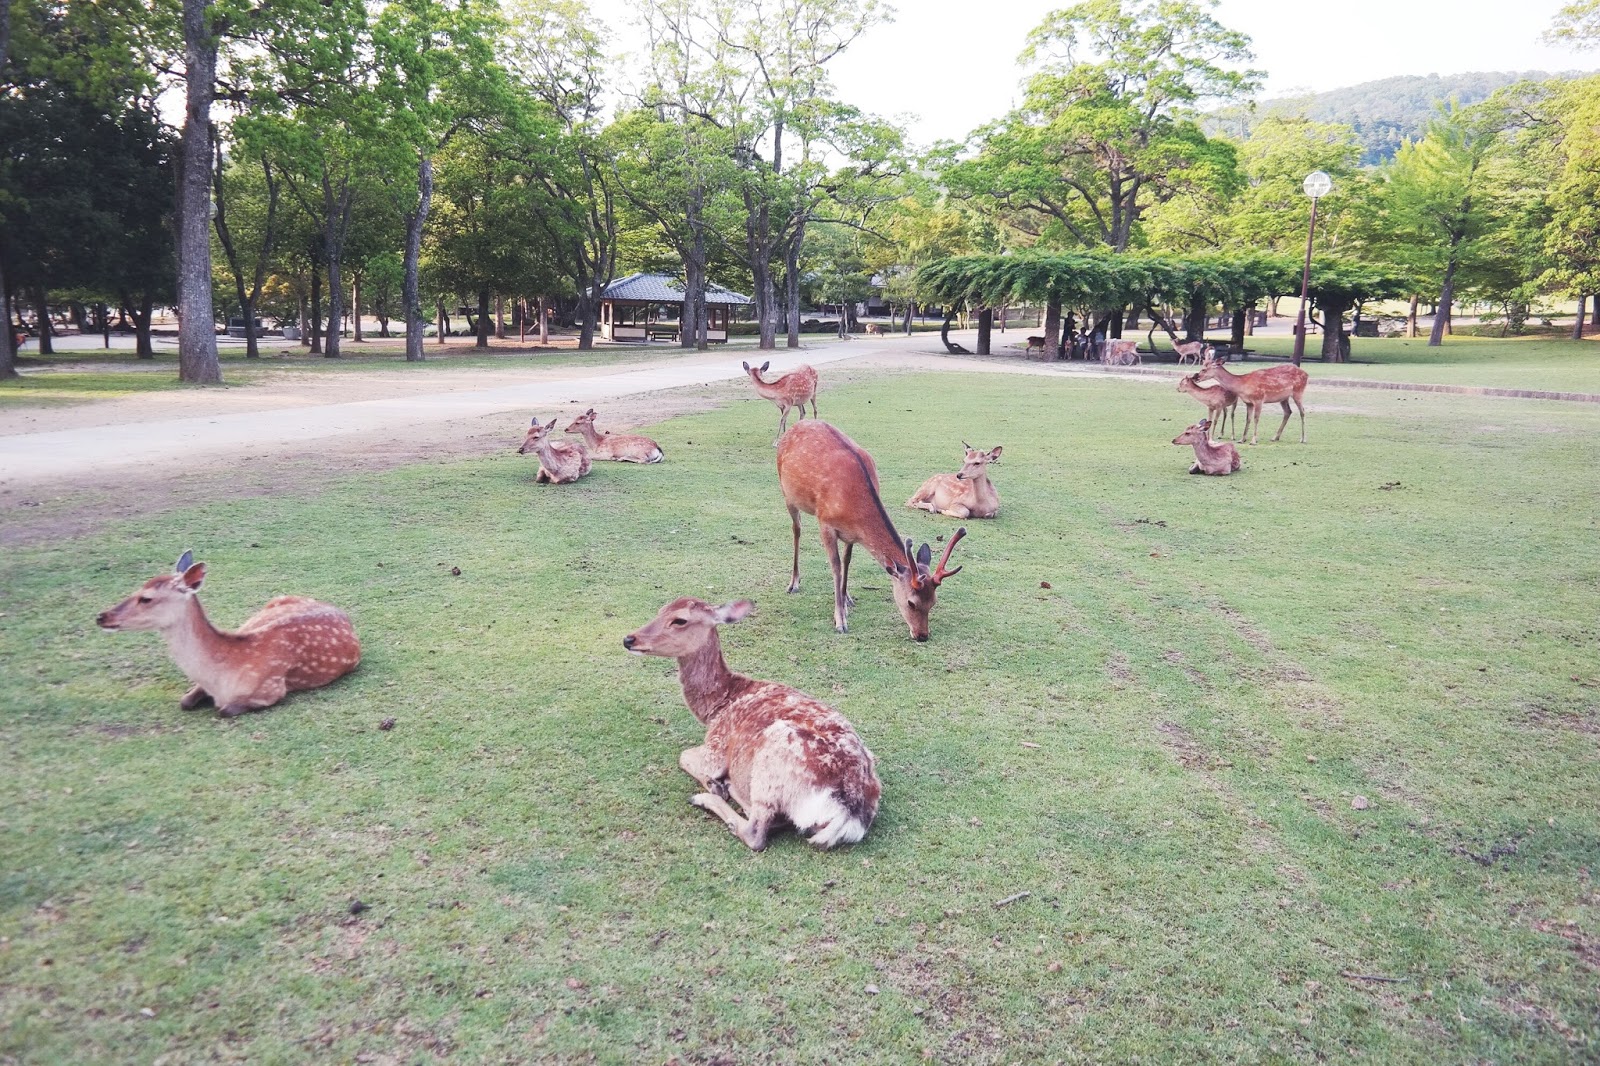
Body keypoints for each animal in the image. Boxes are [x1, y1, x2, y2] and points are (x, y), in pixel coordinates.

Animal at [96, 551, 361, 717]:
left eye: (146, 598)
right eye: (137, 587)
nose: (102, 616)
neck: (221, 677)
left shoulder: (271, 690)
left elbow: (224, 710)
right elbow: (184, 701)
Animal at [623, 597, 881, 852]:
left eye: (679, 620)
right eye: (661, 610)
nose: (629, 639)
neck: (716, 708)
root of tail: (849, 815)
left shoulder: (715, 748)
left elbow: (684, 755)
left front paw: (714, 784)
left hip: (770, 765)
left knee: (756, 832)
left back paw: (708, 796)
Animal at [777, 420, 968, 641]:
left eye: (933, 602)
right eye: (911, 603)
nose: (922, 635)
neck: (854, 505)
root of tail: (795, 425)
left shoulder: (851, 534)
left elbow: (847, 561)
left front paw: (846, 599)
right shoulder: (825, 524)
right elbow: (836, 567)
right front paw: (840, 620)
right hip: (787, 495)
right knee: (797, 529)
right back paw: (794, 583)